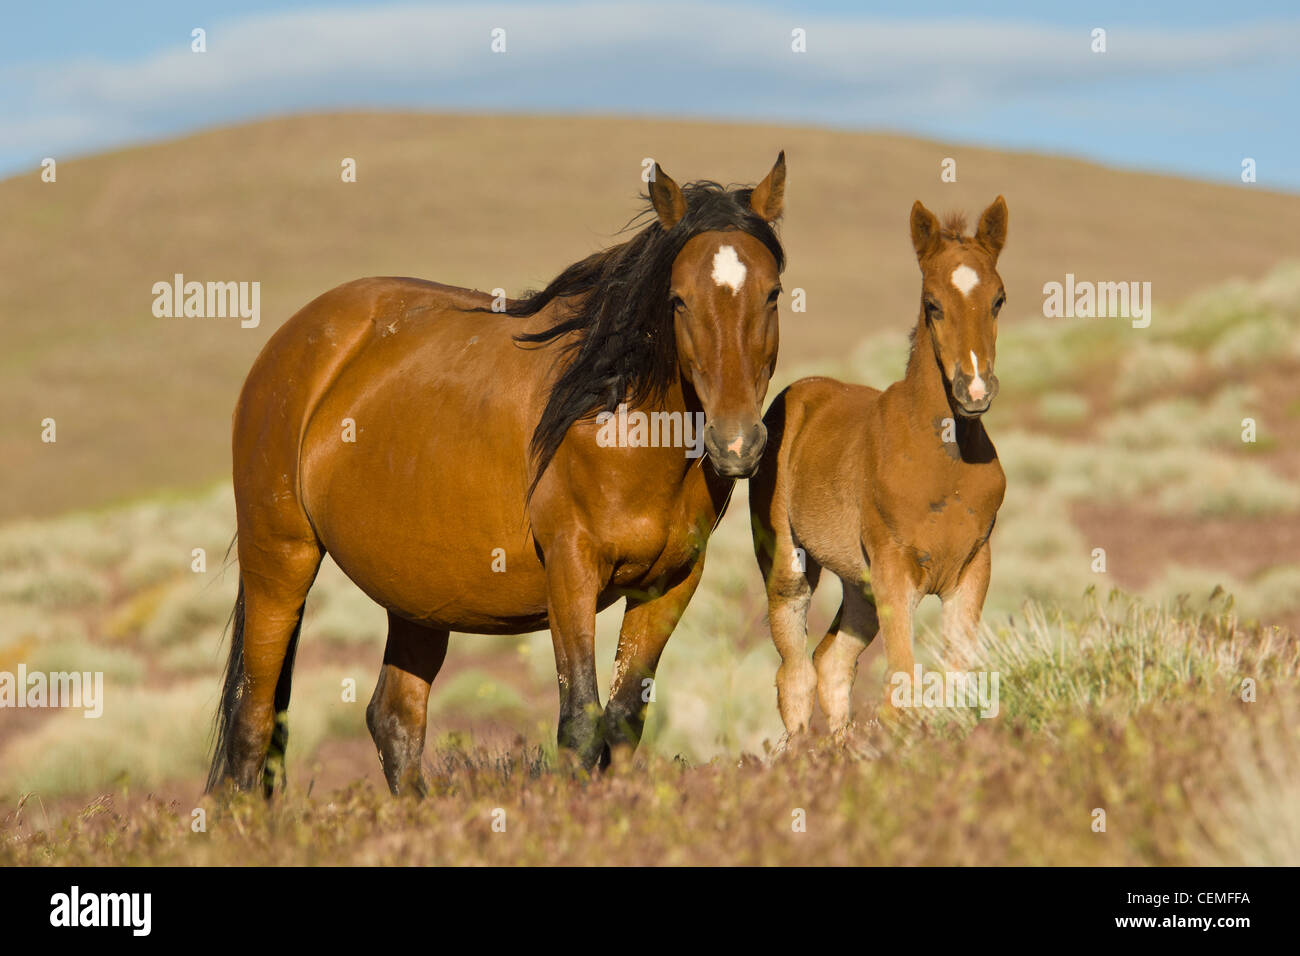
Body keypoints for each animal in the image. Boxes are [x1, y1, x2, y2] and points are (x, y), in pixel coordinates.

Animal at [207, 153, 788, 796]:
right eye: (679, 299)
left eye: (773, 294)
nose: (736, 443)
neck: (618, 419)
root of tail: (293, 342)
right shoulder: (571, 571)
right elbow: (579, 722)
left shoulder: (670, 583)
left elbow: (623, 722)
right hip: (280, 561)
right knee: (253, 721)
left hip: (415, 594)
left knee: (395, 718)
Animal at [748, 196, 1007, 740]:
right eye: (932, 303)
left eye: (998, 299)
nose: (975, 389)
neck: (943, 464)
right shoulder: (894, 569)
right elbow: (902, 686)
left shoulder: (973, 568)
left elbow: (959, 678)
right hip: (788, 564)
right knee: (795, 672)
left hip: (859, 584)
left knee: (830, 662)